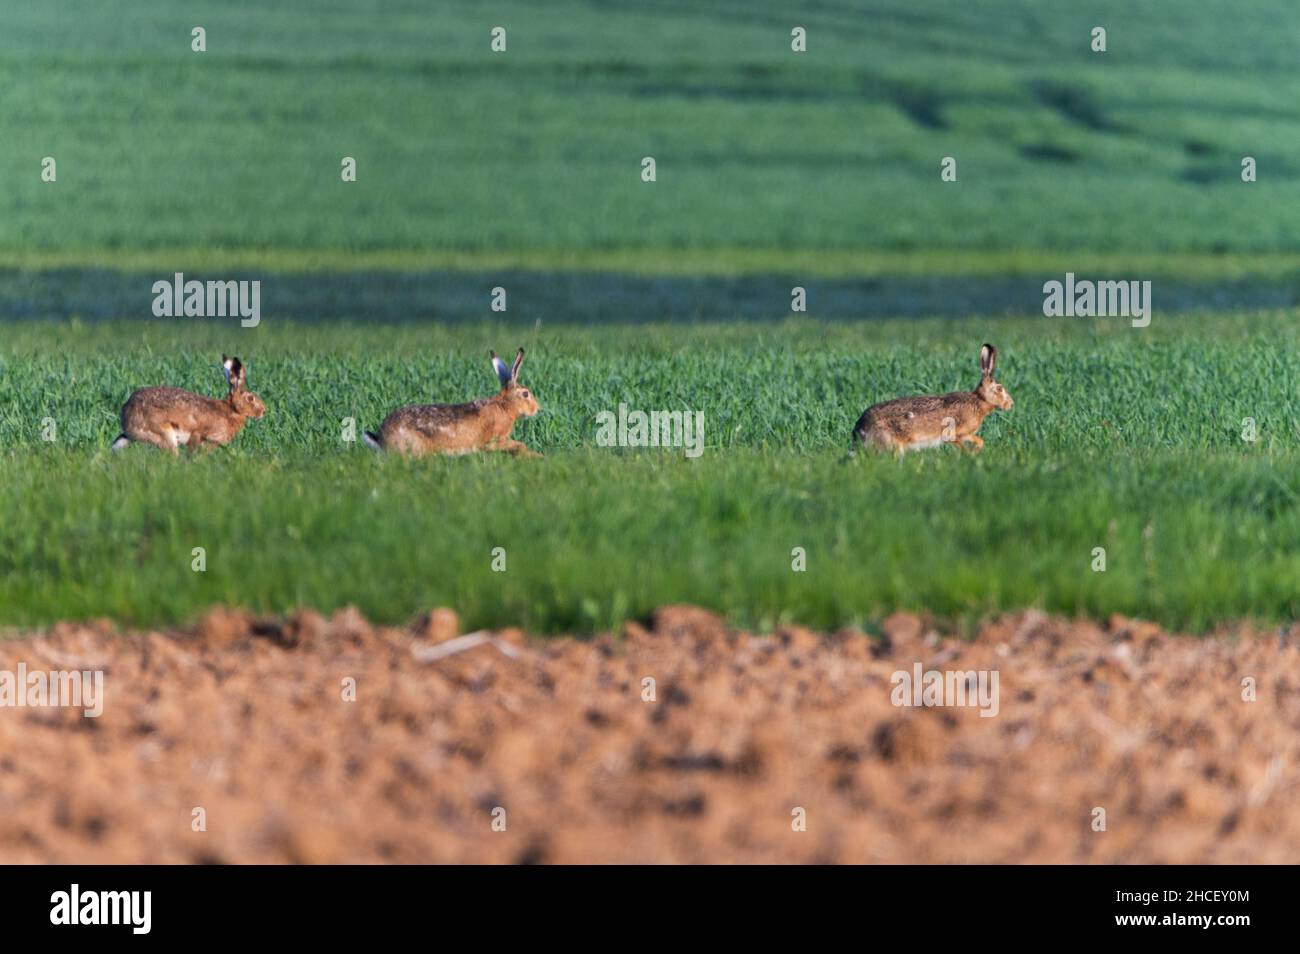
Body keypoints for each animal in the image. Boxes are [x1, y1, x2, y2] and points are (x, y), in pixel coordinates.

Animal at [111, 355, 266, 455]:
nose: (264, 411)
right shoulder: (199, 436)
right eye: (250, 398)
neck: (232, 410)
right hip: (165, 434)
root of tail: (126, 411)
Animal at [363, 347, 540, 457]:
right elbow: (519, 445)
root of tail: (381, 440)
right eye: (526, 394)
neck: (505, 406)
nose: (537, 409)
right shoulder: (494, 441)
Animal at [853, 343, 1013, 455]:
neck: (979, 401)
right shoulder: (957, 433)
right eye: (999, 388)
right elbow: (975, 442)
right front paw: (972, 454)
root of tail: (859, 429)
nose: (1011, 404)